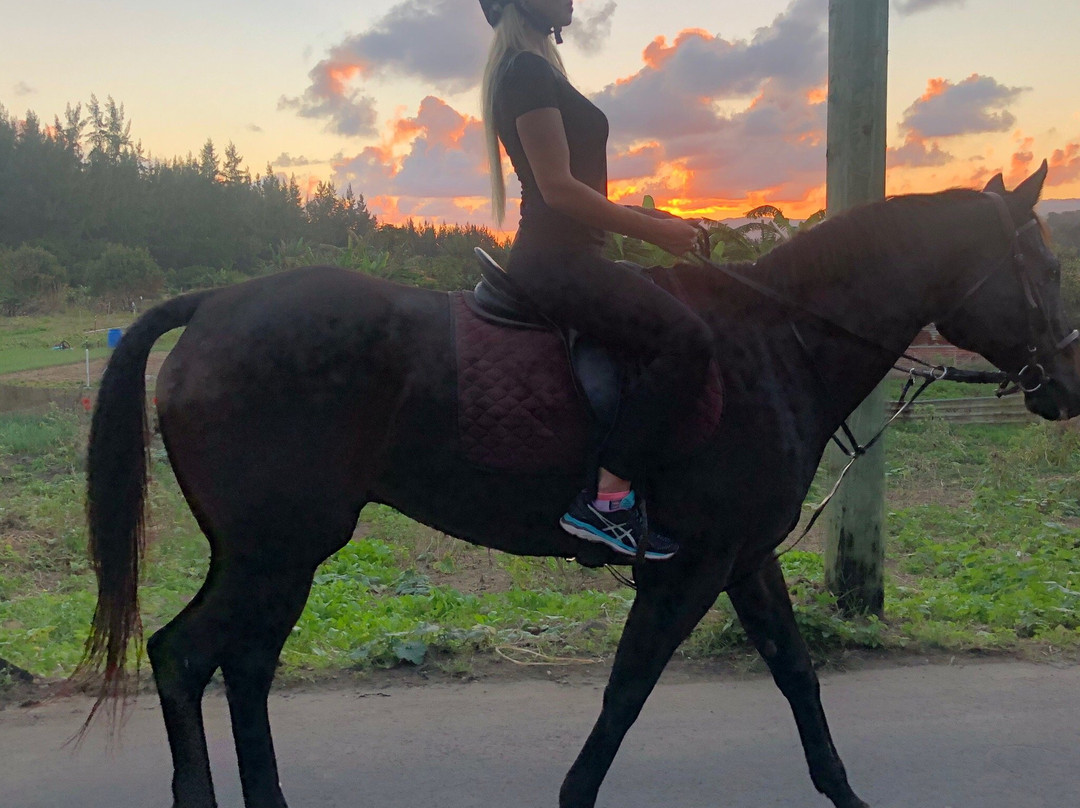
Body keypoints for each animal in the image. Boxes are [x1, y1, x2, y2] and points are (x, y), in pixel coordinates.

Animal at [78, 163, 1080, 808]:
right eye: (1048, 267)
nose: (1067, 385)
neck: (778, 343)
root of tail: (213, 307)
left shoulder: (745, 559)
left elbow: (799, 679)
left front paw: (848, 795)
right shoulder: (690, 567)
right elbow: (627, 692)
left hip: (274, 556)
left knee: (241, 667)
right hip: (277, 551)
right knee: (187, 658)